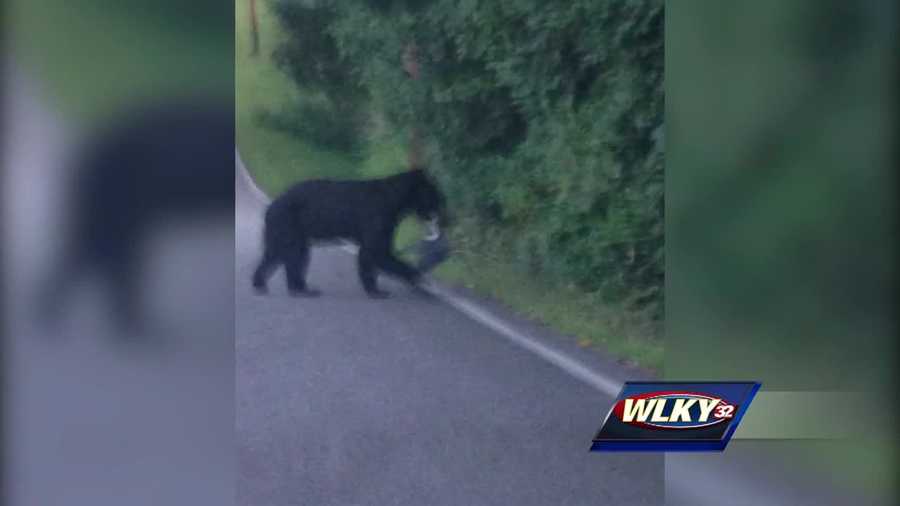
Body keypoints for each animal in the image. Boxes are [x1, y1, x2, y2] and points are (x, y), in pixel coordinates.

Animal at [251, 168, 446, 298]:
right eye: (434, 195)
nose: (442, 214)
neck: (395, 200)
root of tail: (271, 206)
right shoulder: (377, 218)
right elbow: (376, 252)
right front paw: (413, 281)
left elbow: (373, 254)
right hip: (288, 224)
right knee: (290, 255)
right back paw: (295, 288)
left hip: (287, 230)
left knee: (281, 254)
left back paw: (280, 285)